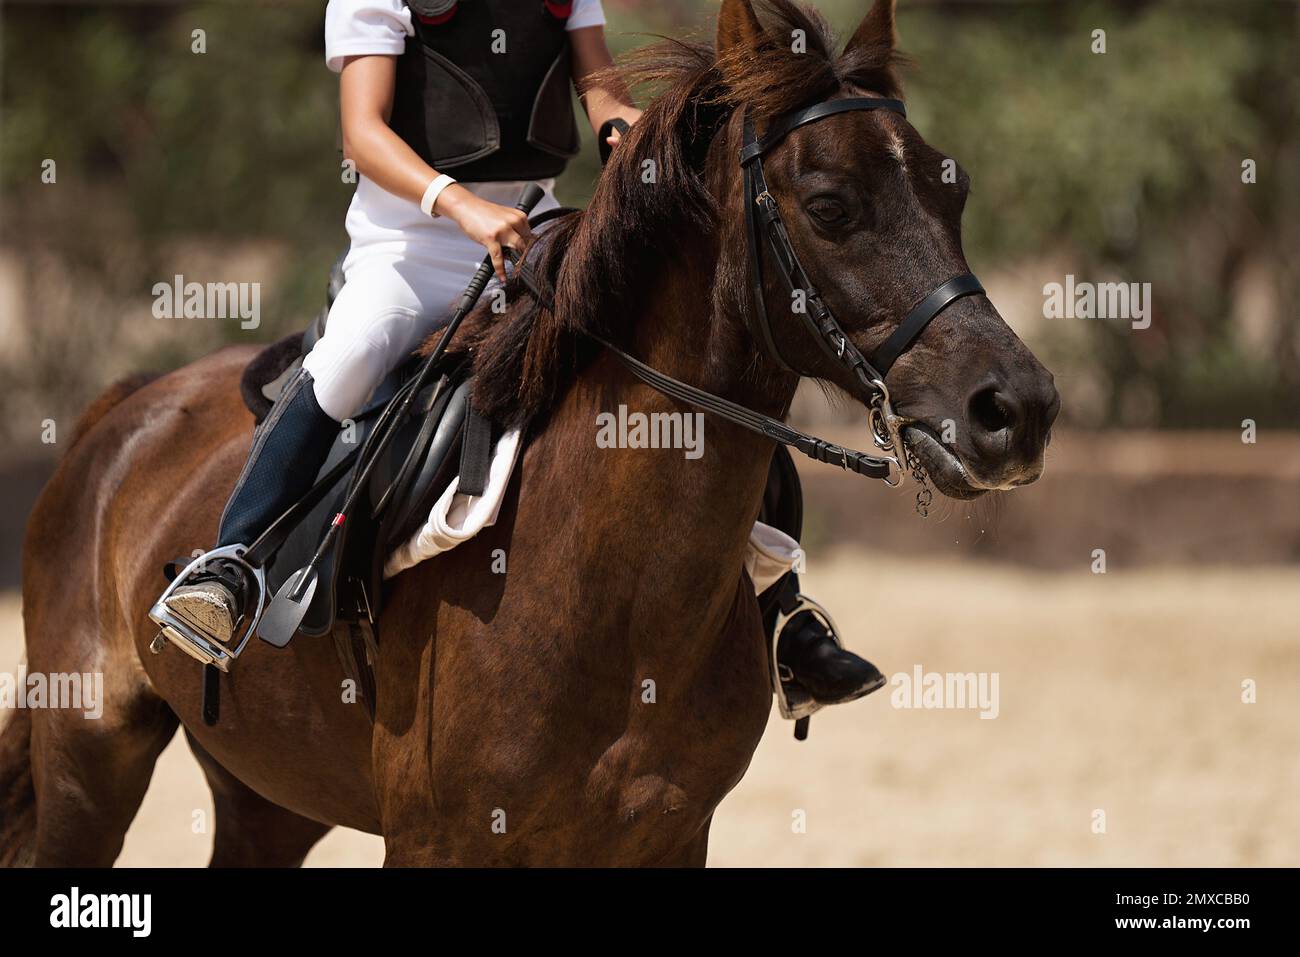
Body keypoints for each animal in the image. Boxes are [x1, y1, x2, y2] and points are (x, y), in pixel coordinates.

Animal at [1, 0, 1058, 867]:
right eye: (832, 206)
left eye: (955, 193)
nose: (1018, 409)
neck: (614, 589)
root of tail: (124, 410)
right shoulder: (439, 841)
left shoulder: (666, 837)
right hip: (90, 760)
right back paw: (216, 588)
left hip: (271, 790)